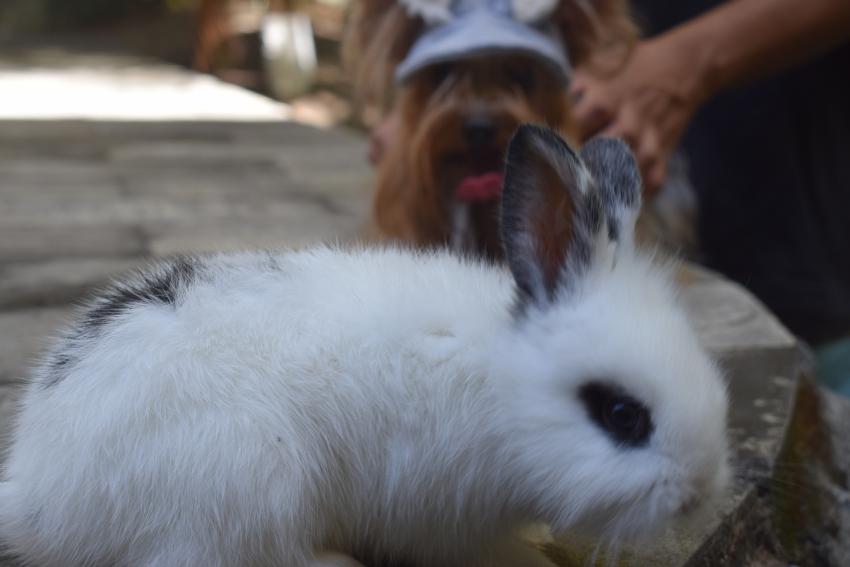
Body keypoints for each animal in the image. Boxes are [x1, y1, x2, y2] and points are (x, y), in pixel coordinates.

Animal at [0, 125, 729, 567]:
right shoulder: (441, 516)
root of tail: (40, 491)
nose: (698, 492)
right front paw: (533, 559)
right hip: (248, 483)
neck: (502, 384)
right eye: (621, 414)